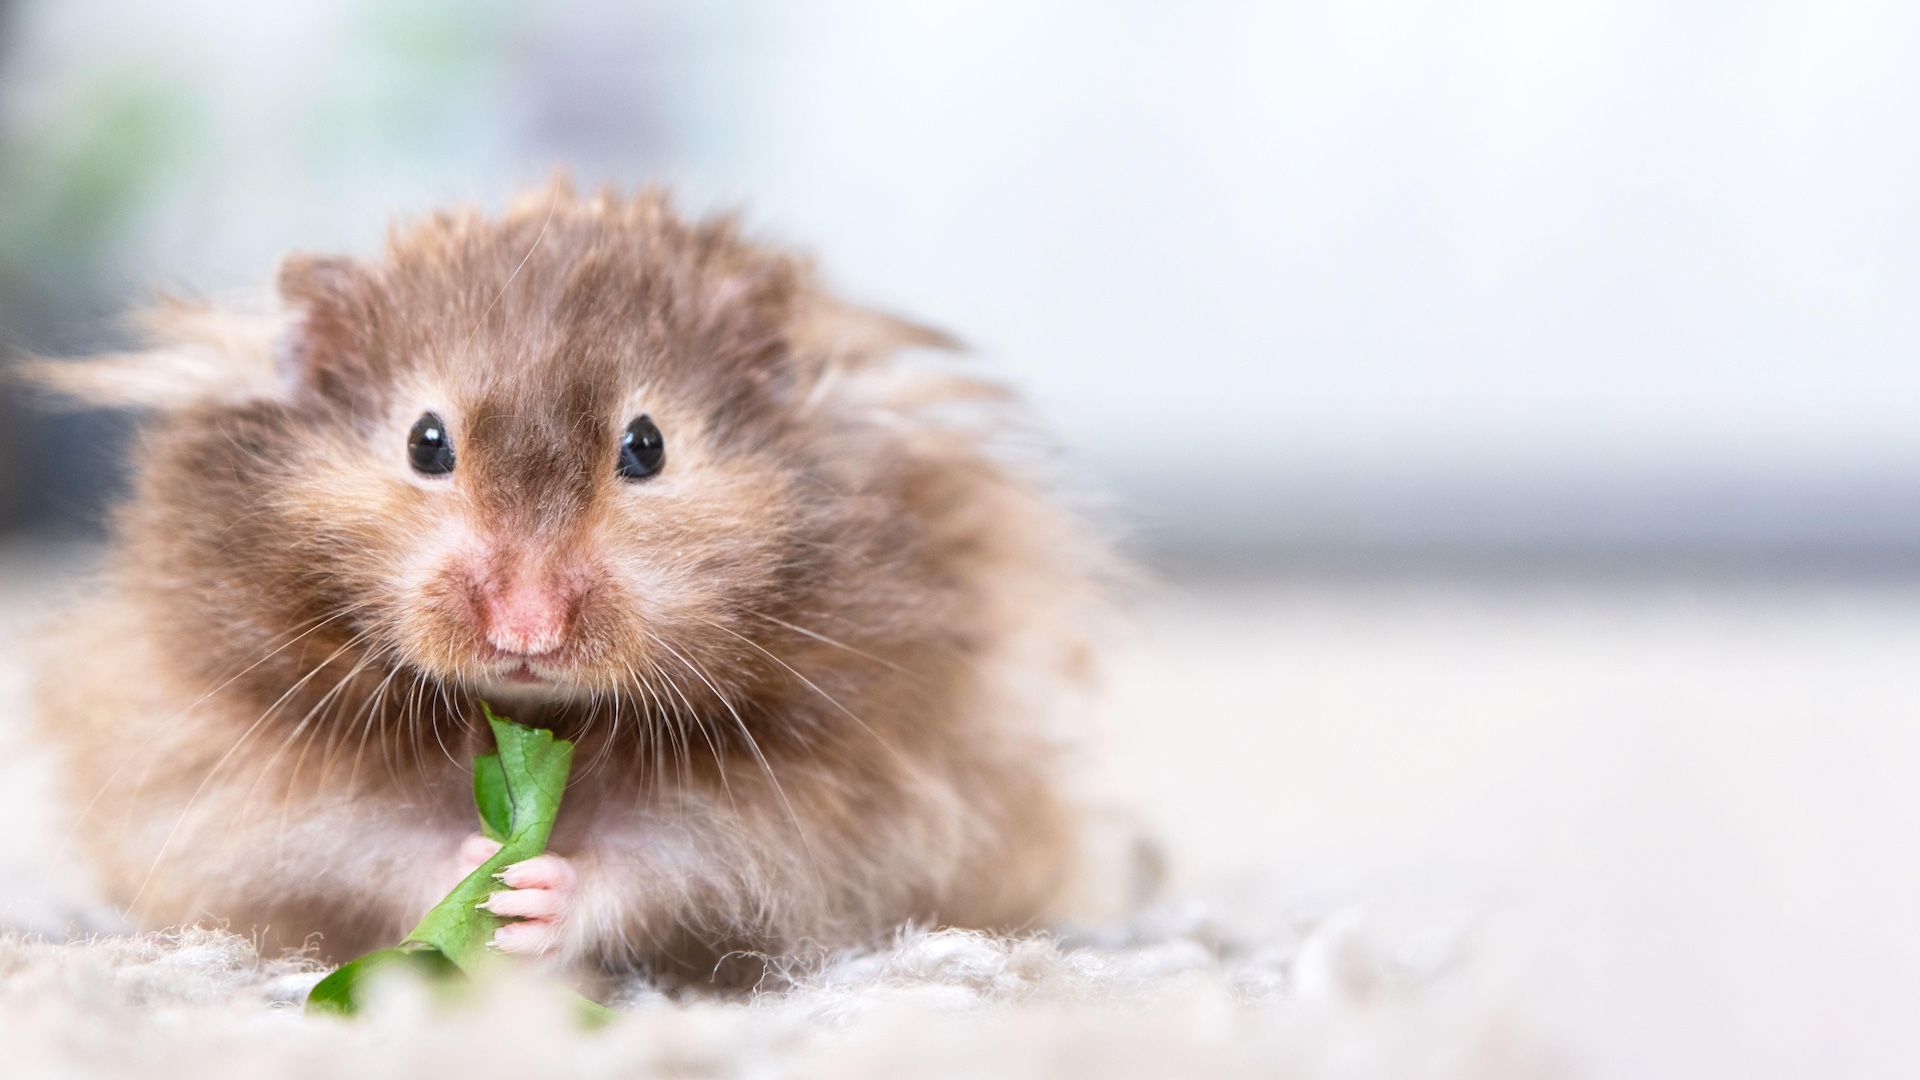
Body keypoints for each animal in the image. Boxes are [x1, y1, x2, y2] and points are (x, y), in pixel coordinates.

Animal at [26, 182, 1109, 984]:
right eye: (426, 442)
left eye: (647, 446)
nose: (526, 628)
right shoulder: (232, 775)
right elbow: (366, 839)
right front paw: (476, 869)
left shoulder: (833, 809)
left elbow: (667, 861)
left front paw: (531, 892)